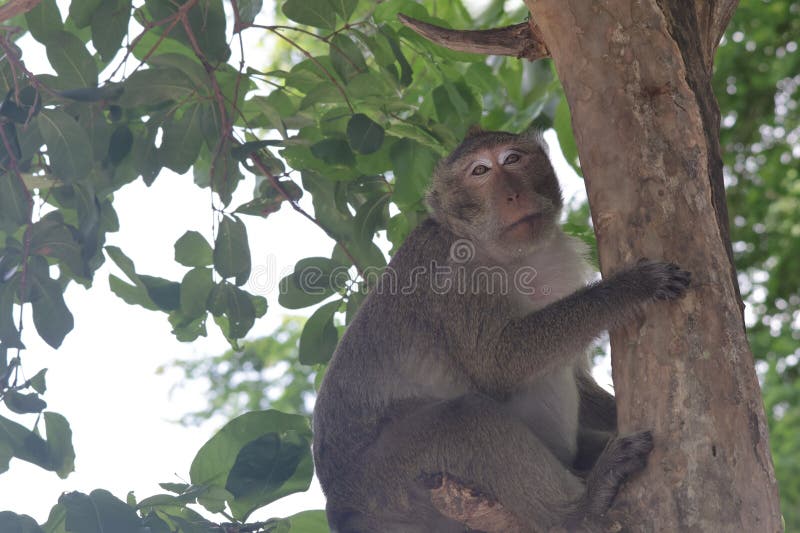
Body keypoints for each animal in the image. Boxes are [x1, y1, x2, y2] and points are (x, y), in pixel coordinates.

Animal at [312, 128, 691, 532]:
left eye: (513, 159)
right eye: (479, 171)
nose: (513, 194)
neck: (513, 257)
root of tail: (340, 508)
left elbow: (572, 375)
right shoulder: (452, 268)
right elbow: (497, 363)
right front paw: (632, 287)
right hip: (390, 486)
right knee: (463, 419)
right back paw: (579, 509)